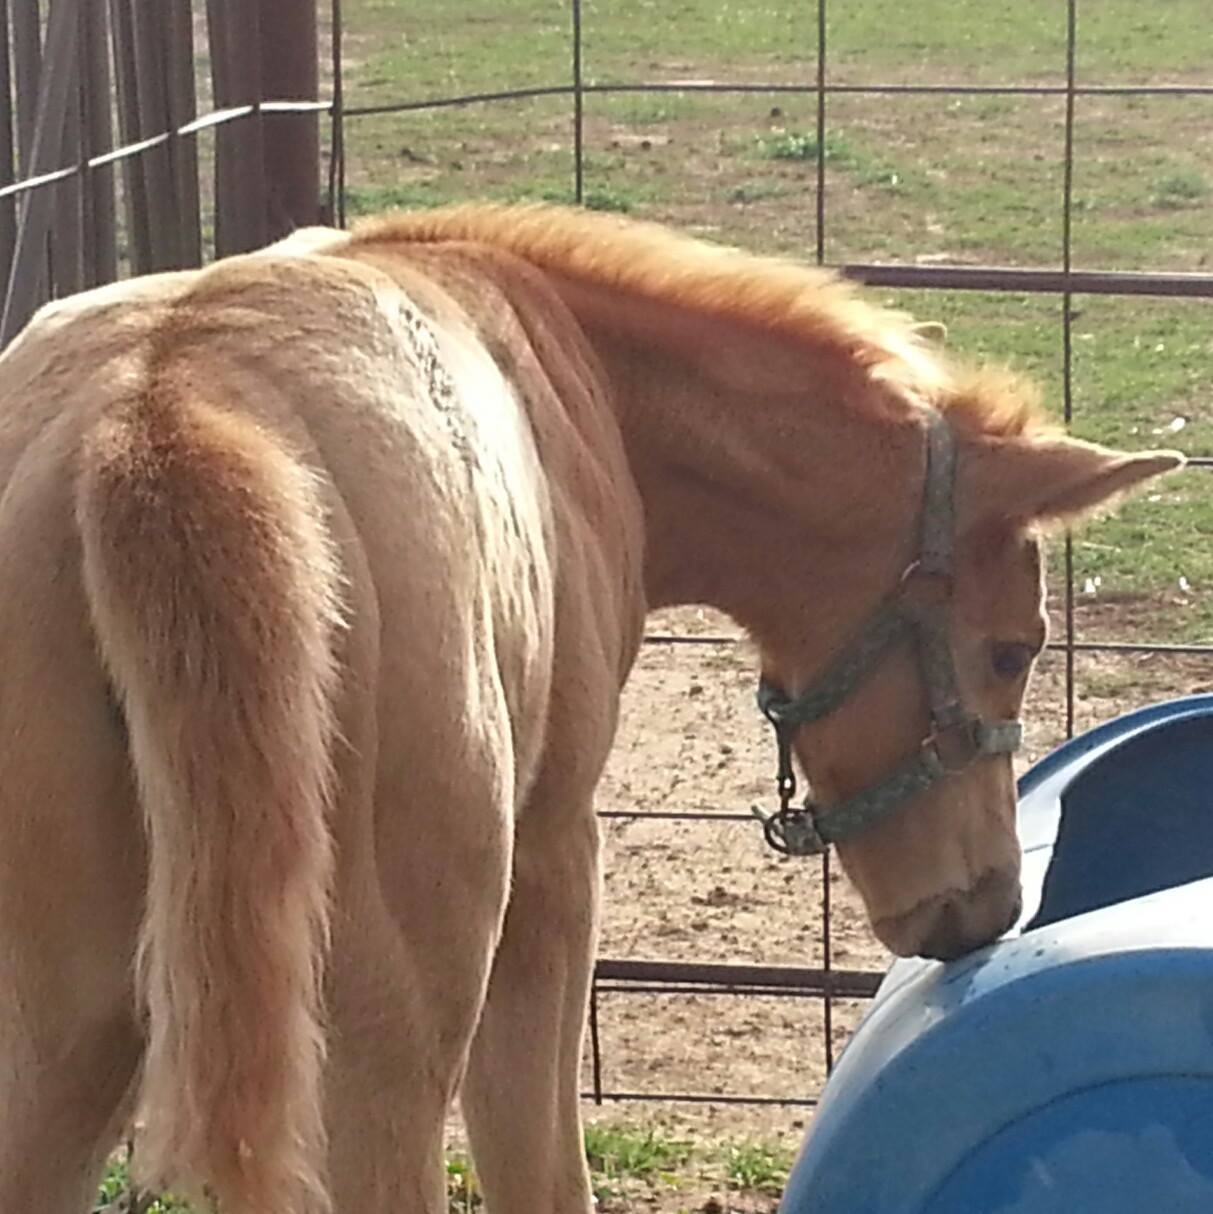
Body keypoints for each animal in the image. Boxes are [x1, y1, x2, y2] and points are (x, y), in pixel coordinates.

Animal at [0, 203, 1180, 1214]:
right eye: (1013, 648)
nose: (988, 905)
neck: (586, 379)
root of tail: (165, 413)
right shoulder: (556, 867)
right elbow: (541, 1166)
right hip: (381, 1030)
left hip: (66, 1039)